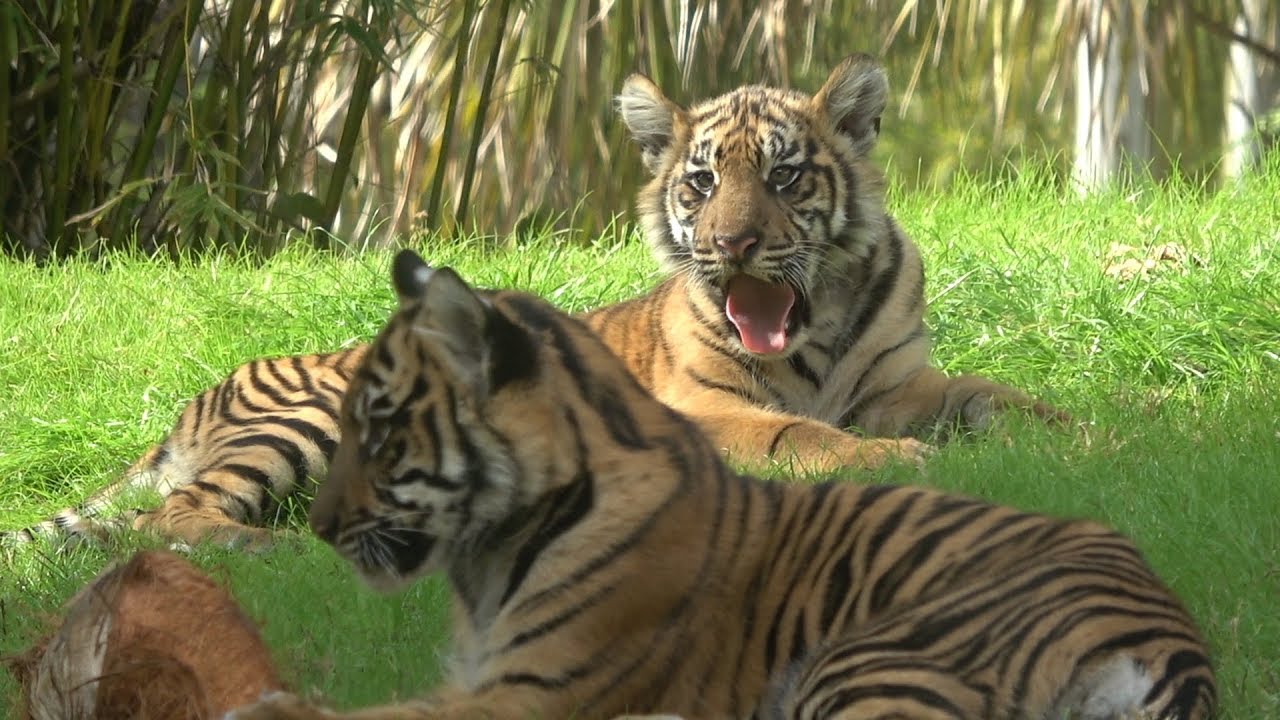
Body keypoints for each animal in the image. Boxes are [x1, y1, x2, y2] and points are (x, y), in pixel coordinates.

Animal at [5, 54, 1064, 551]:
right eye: (701, 182)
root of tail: (199, 399)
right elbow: (796, 435)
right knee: (179, 518)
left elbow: (999, 396)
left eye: (785, 175)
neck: (820, 327)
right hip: (305, 419)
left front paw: (1080, 430)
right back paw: (263, 550)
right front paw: (893, 459)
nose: (731, 245)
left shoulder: (904, 379)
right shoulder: (702, 407)